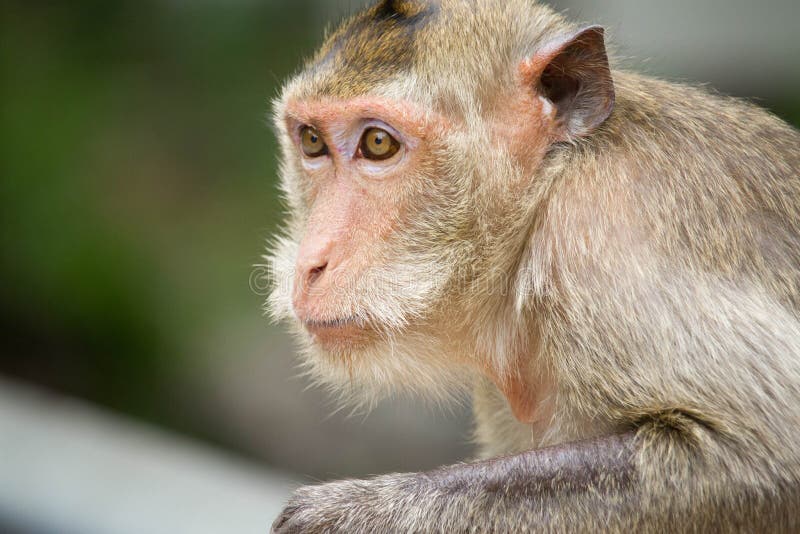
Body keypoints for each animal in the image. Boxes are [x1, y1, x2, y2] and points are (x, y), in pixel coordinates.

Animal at [264, 0, 800, 531]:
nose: (311, 263)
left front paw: (351, 514)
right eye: (312, 141)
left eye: (378, 144)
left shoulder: (606, 231)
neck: (545, 190)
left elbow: (764, 456)